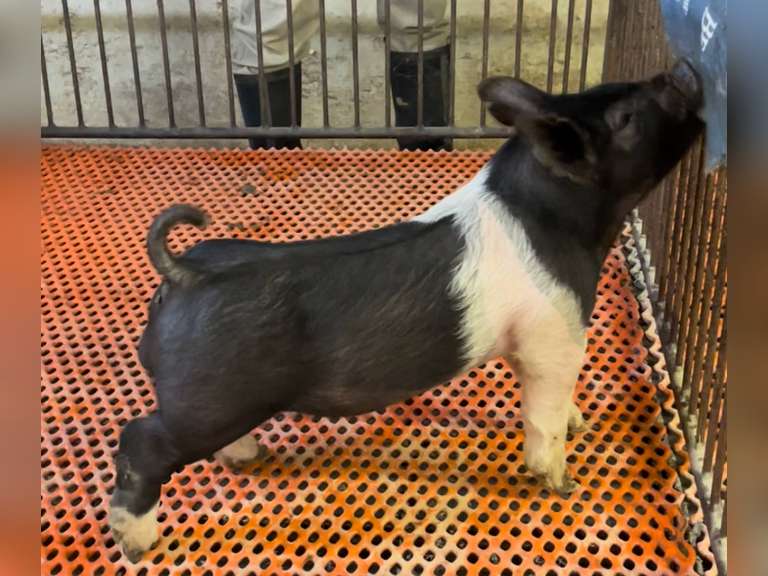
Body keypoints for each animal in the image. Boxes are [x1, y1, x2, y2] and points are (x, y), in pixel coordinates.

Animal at [109, 60, 703, 562]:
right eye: (625, 118)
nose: (681, 71)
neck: (552, 217)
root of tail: (186, 272)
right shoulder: (553, 333)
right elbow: (544, 414)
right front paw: (563, 483)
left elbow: (556, 405)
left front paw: (579, 422)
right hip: (207, 400)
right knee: (141, 441)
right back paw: (138, 543)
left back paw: (246, 455)